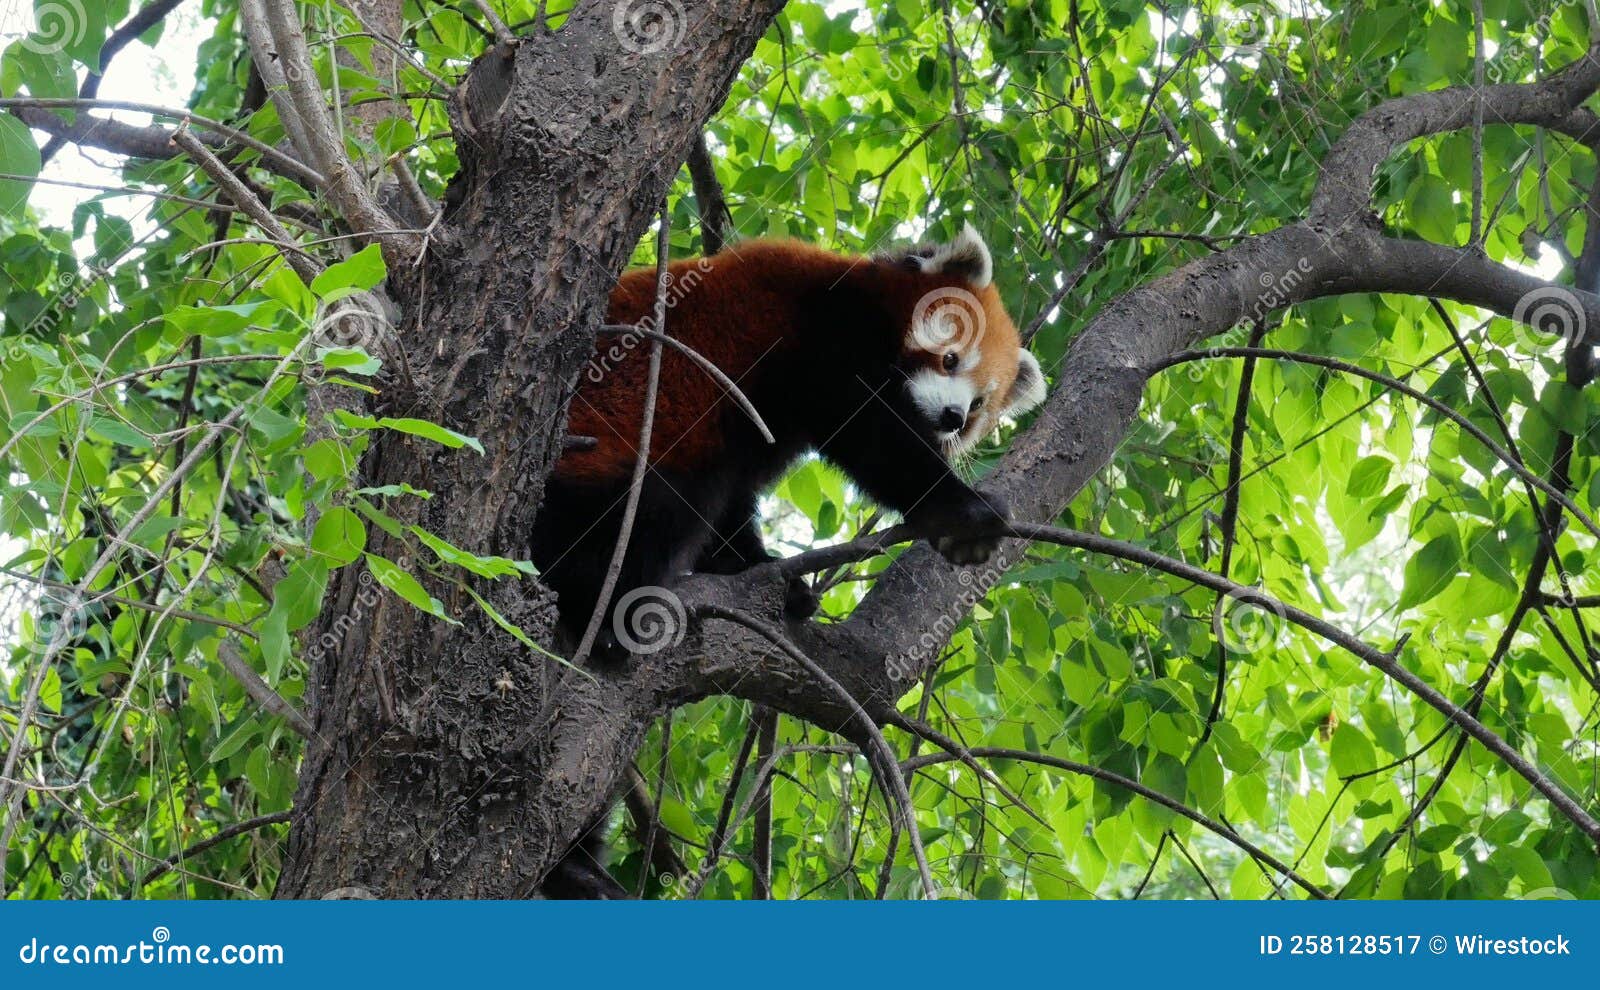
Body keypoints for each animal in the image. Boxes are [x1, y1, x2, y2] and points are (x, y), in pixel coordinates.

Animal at [530, 222, 1047, 655]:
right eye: (951, 360)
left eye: (979, 406)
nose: (952, 417)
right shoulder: (821, 340)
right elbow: (878, 444)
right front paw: (962, 512)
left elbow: (736, 502)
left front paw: (754, 567)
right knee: (650, 510)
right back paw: (601, 609)